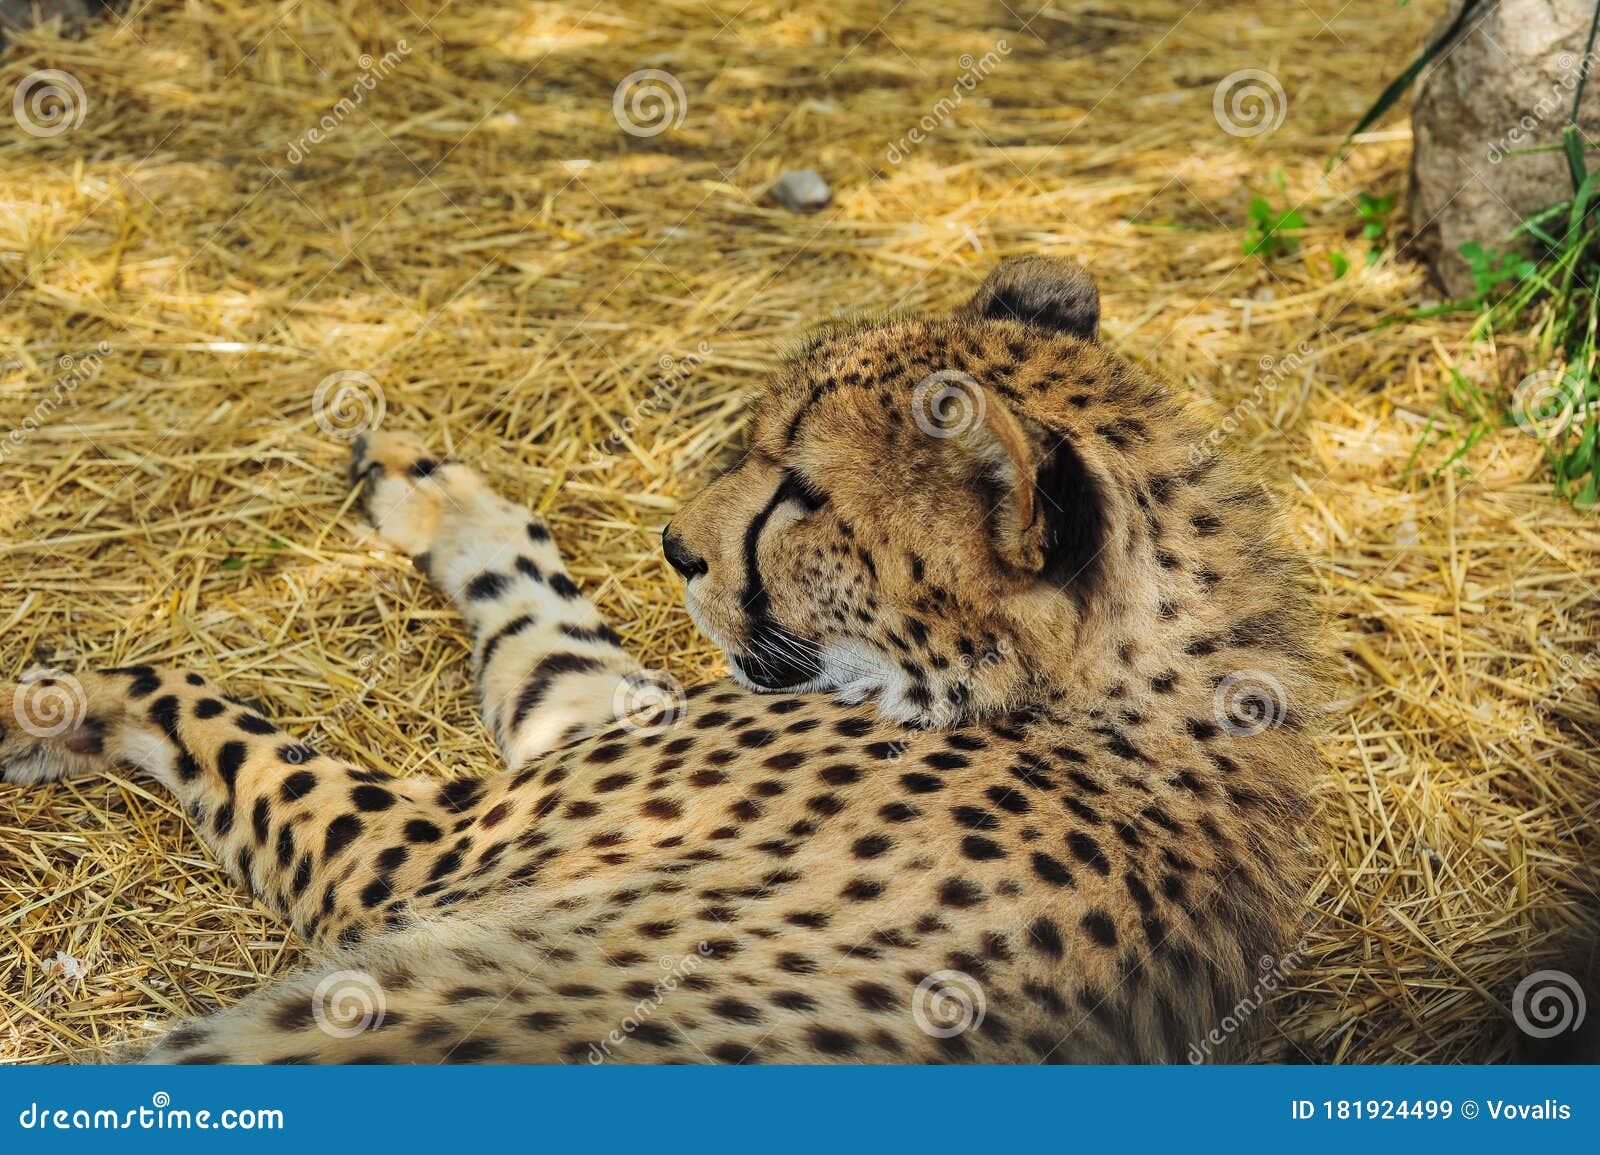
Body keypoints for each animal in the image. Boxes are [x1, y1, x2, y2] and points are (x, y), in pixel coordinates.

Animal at [0, 257, 1323, 1064]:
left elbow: (198, 707)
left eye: (801, 493)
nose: (677, 548)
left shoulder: (416, 857)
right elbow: (542, 624)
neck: (1095, 706)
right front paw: (434, 493)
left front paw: (43, 701)